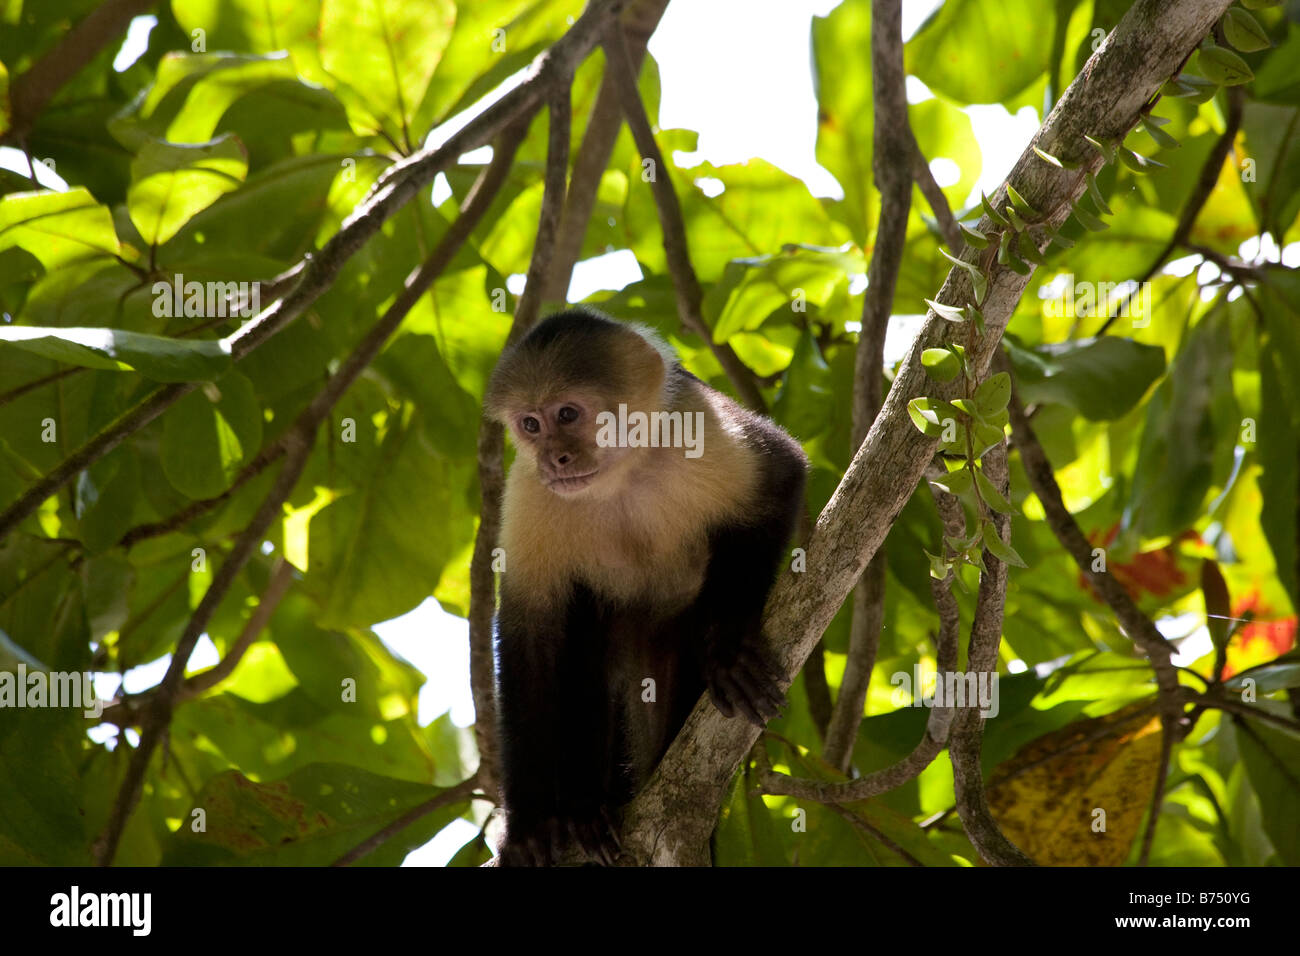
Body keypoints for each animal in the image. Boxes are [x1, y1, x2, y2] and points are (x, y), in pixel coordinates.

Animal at [483, 307, 807, 866]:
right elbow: (531, 638)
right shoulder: (529, 489)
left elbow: (780, 476)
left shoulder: (697, 420)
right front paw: (529, 824)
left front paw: (727, 649)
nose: (554, 458)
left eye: (567, 414)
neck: (620, 475)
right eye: (530, 424)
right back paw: (585, 808)